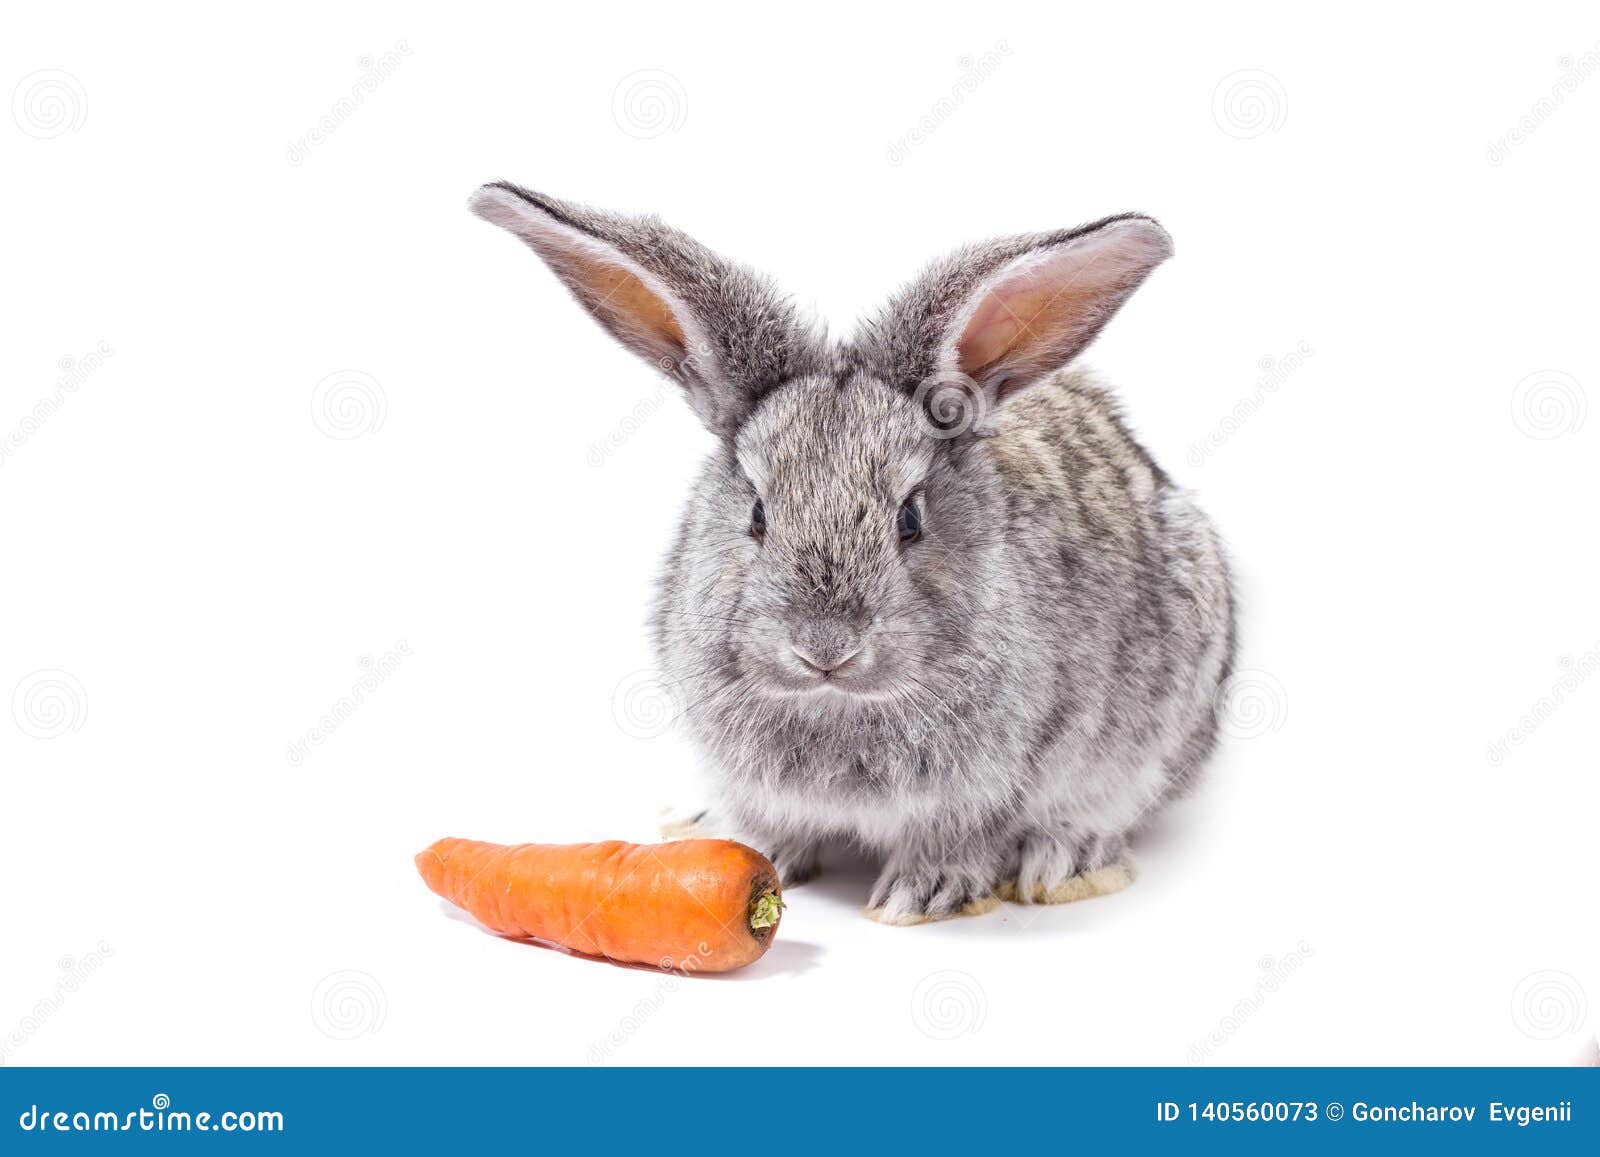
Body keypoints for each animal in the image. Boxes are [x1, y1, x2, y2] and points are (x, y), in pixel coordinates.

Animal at [470, 181, 1236, 925]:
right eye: (757, 514)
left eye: (910, 518)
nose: (825, 647)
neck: (834, 703)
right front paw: (754, 851)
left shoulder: (991, 785)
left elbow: (960, 838)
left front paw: (920, 895)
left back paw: (1065, 862)